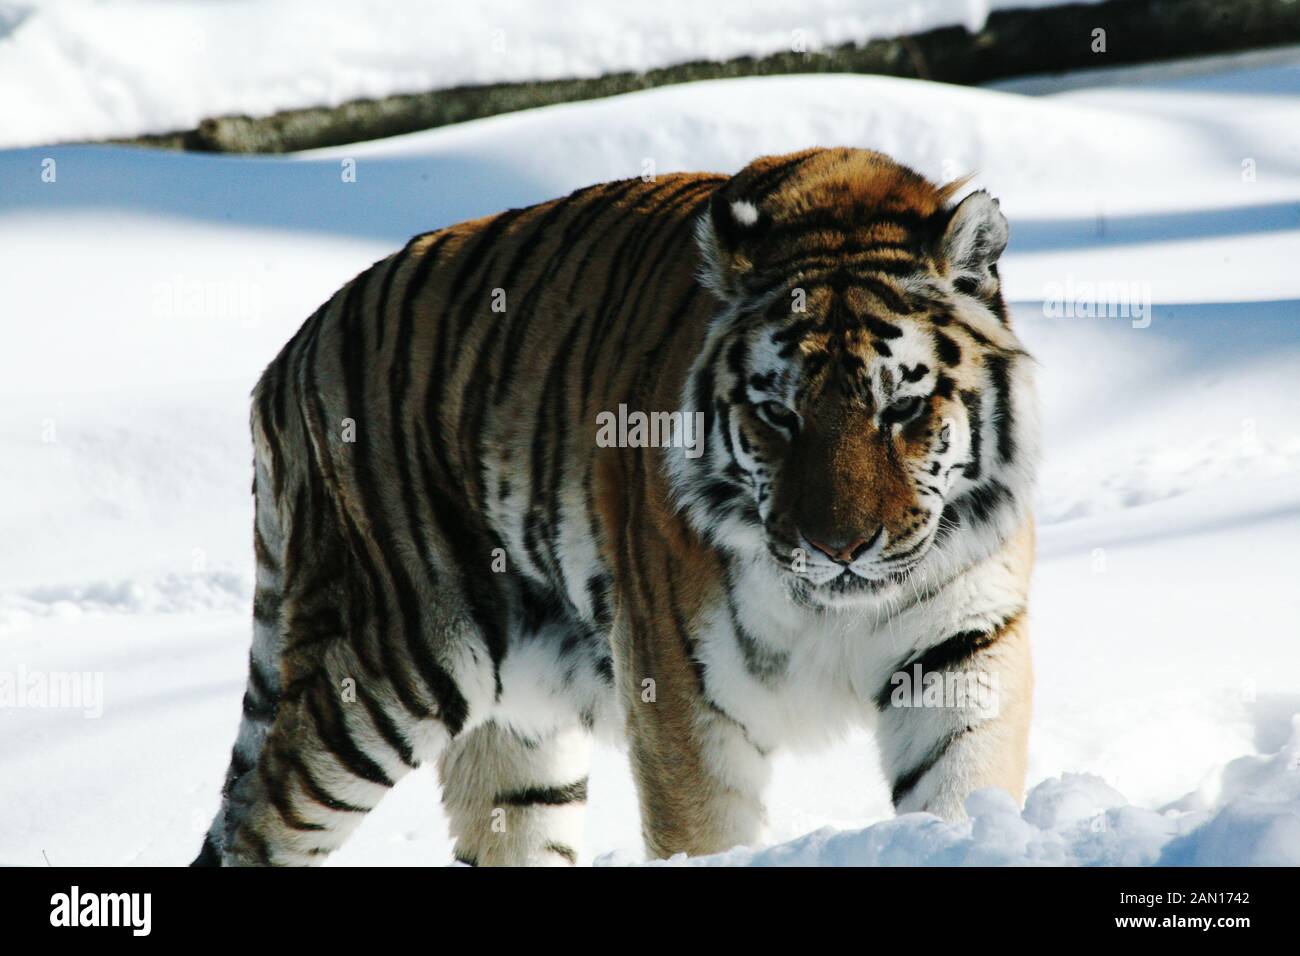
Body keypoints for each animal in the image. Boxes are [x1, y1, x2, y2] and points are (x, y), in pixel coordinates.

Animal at [193, 147, 1038, 867]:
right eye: (778, 414)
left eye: (903, 408)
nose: (840, 549)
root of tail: (289, 355)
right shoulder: (682, 692)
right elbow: (703, 833)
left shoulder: (960, 645)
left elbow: (962, 789)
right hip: (388, 665)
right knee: (257, 823)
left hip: (519, 734)